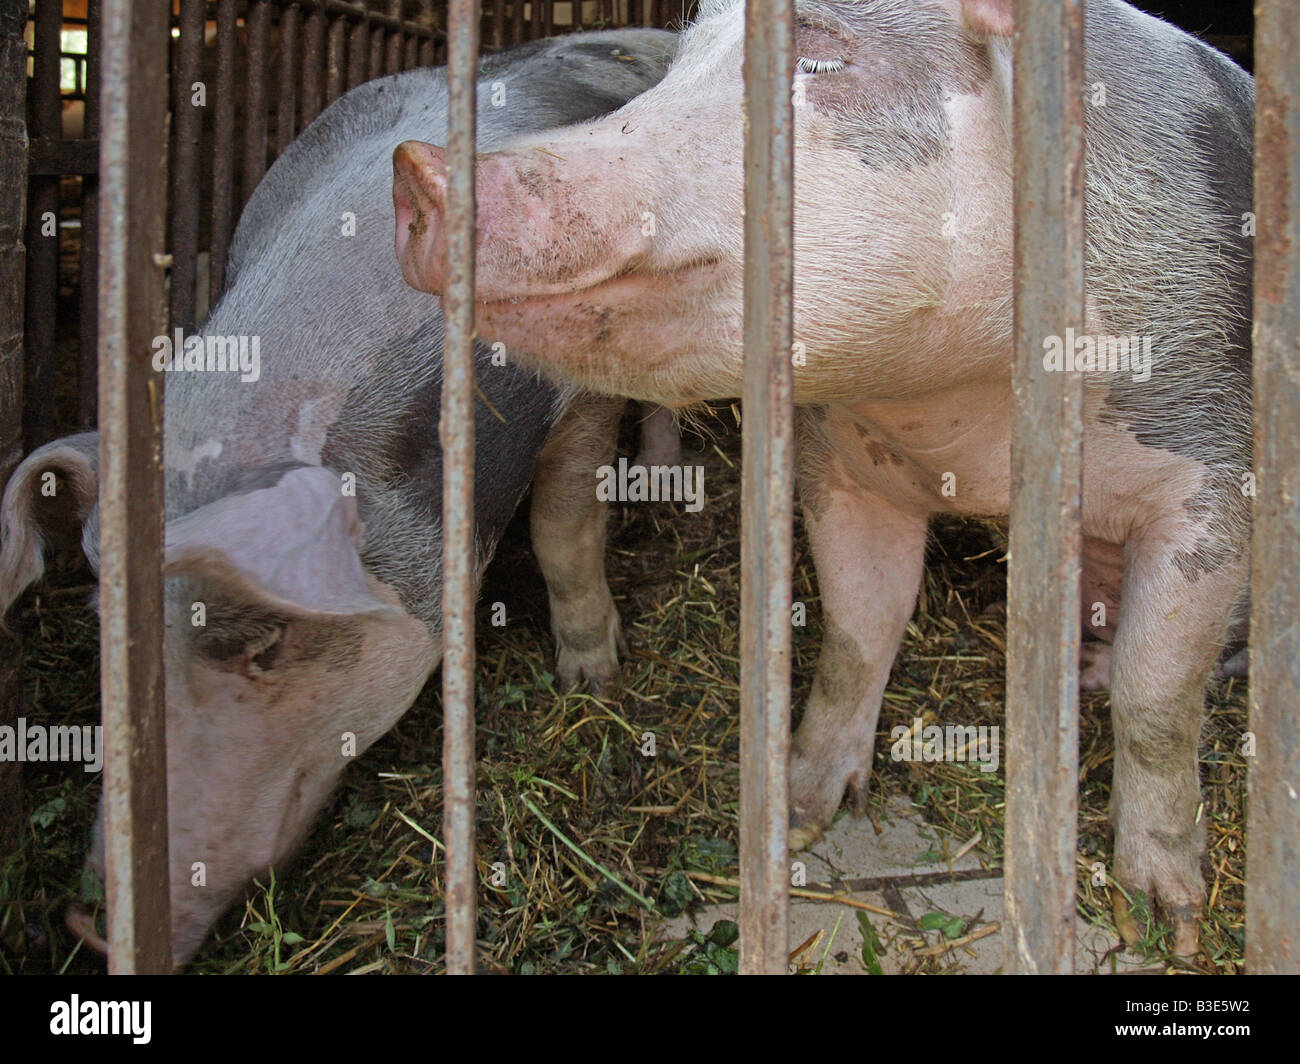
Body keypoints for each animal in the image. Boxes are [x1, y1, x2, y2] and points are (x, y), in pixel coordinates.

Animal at [0, 28, 678, 968]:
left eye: (264, 643)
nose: (88, 928)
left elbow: (564, 526)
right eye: (111, 635)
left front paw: (592, 683)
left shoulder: (579, 395)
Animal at [392, 0, 1255, 957]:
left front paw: (1167, 918)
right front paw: (800, 815)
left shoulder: (1209, 467)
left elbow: (1157, 700)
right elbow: (856, 630)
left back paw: (1095, 680)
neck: (974, 435)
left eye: (818, 54)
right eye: (680, 63)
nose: (419, 170)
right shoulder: (845, 465)